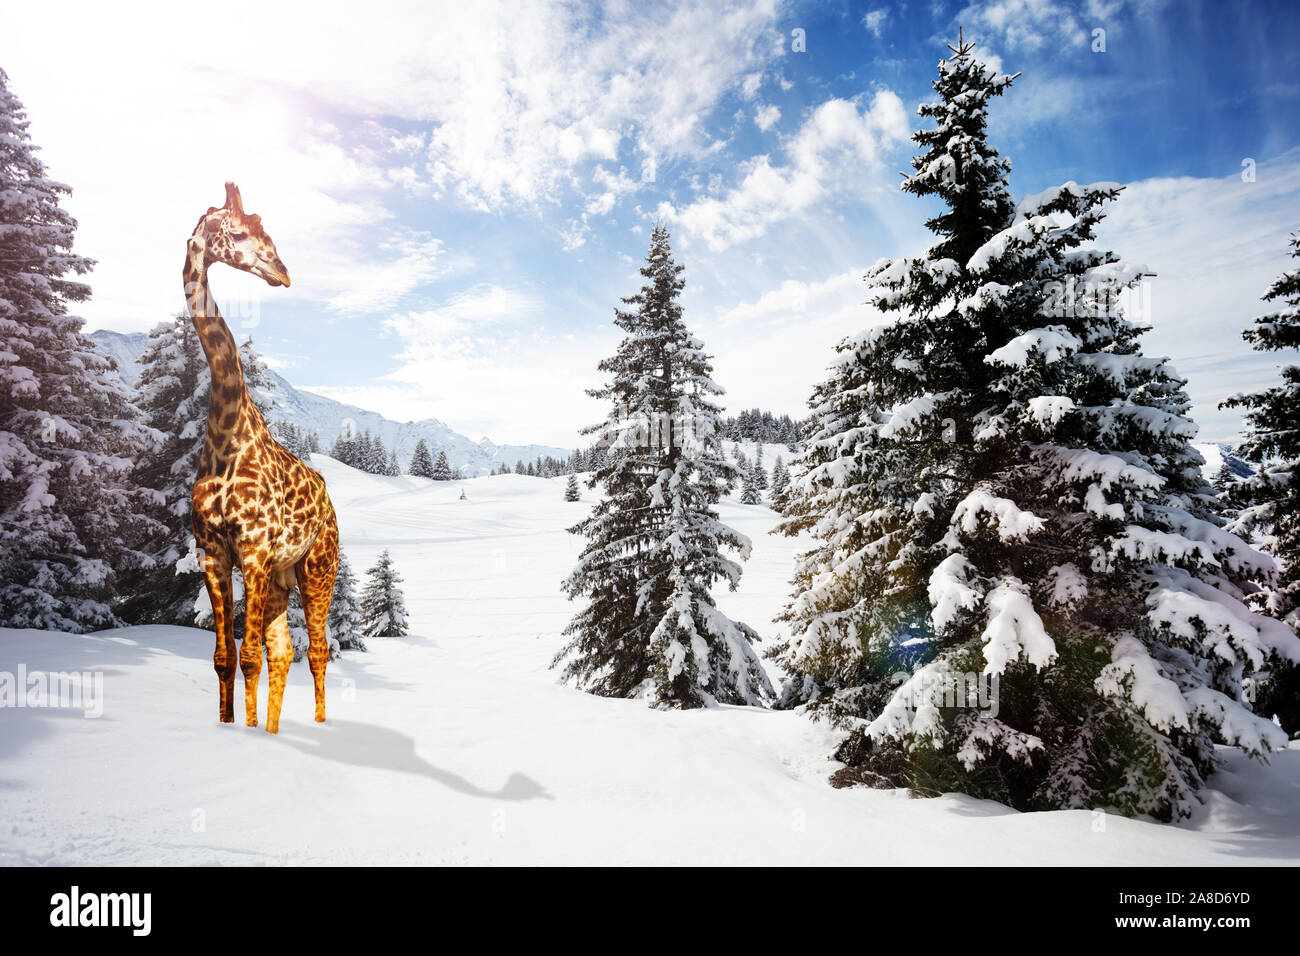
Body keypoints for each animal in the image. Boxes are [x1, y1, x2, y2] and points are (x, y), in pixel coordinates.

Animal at [184, 181, 338, 735]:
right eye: (240, 233)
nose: (283, 272)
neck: (225, 430)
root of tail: (329, 500)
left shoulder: (251, 549)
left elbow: (248, 656)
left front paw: (249, 737)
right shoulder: (212, 551)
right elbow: (225, 658)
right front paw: (234, 726)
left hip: (318, 567)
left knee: (316, 649)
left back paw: (319, 724)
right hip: (281, 577)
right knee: (284, 650)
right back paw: (272, 727)